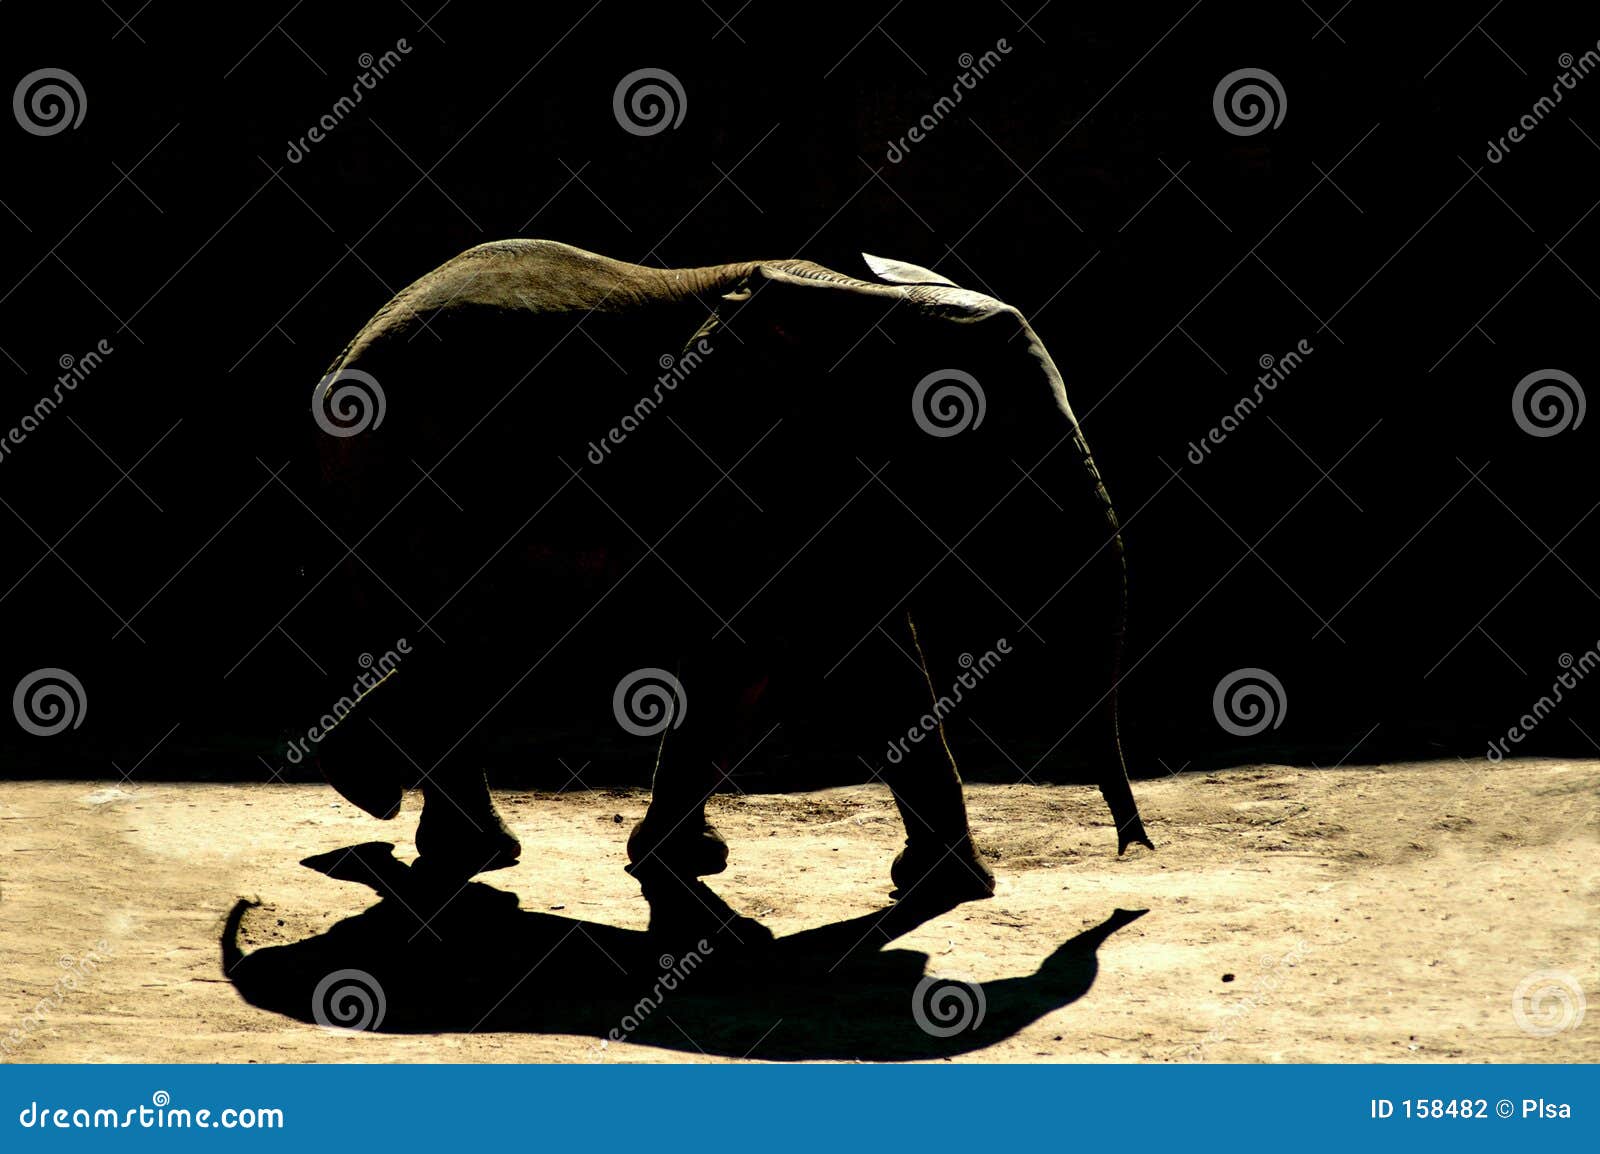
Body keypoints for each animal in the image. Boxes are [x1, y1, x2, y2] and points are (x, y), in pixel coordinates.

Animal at [298, 238, 1151, 905]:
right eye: (993, 447)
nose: (1133, 849)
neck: (874, 305)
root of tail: (346, 351)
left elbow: (849, 657)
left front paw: (942, 885)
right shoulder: (753, 466)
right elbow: (795, 657)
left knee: (460, 653)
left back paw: (425, 823)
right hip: (416, 484)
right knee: (459, 647)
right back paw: (415, 820)